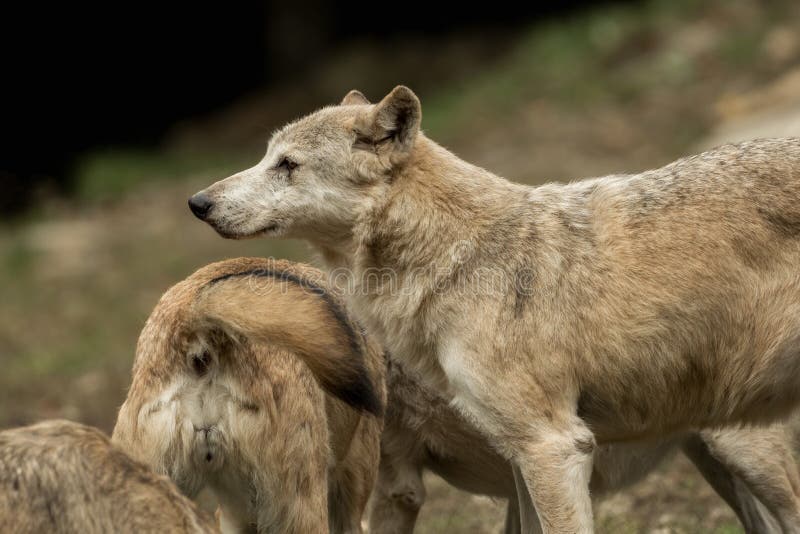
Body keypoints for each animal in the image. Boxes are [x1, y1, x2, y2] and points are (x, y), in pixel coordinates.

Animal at [189, 86, 800, 532]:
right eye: (265, 157)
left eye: (287, 166)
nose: (198, 202)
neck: (459, 258)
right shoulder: (520, 461)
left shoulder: (552, 448)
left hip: (742, 447)